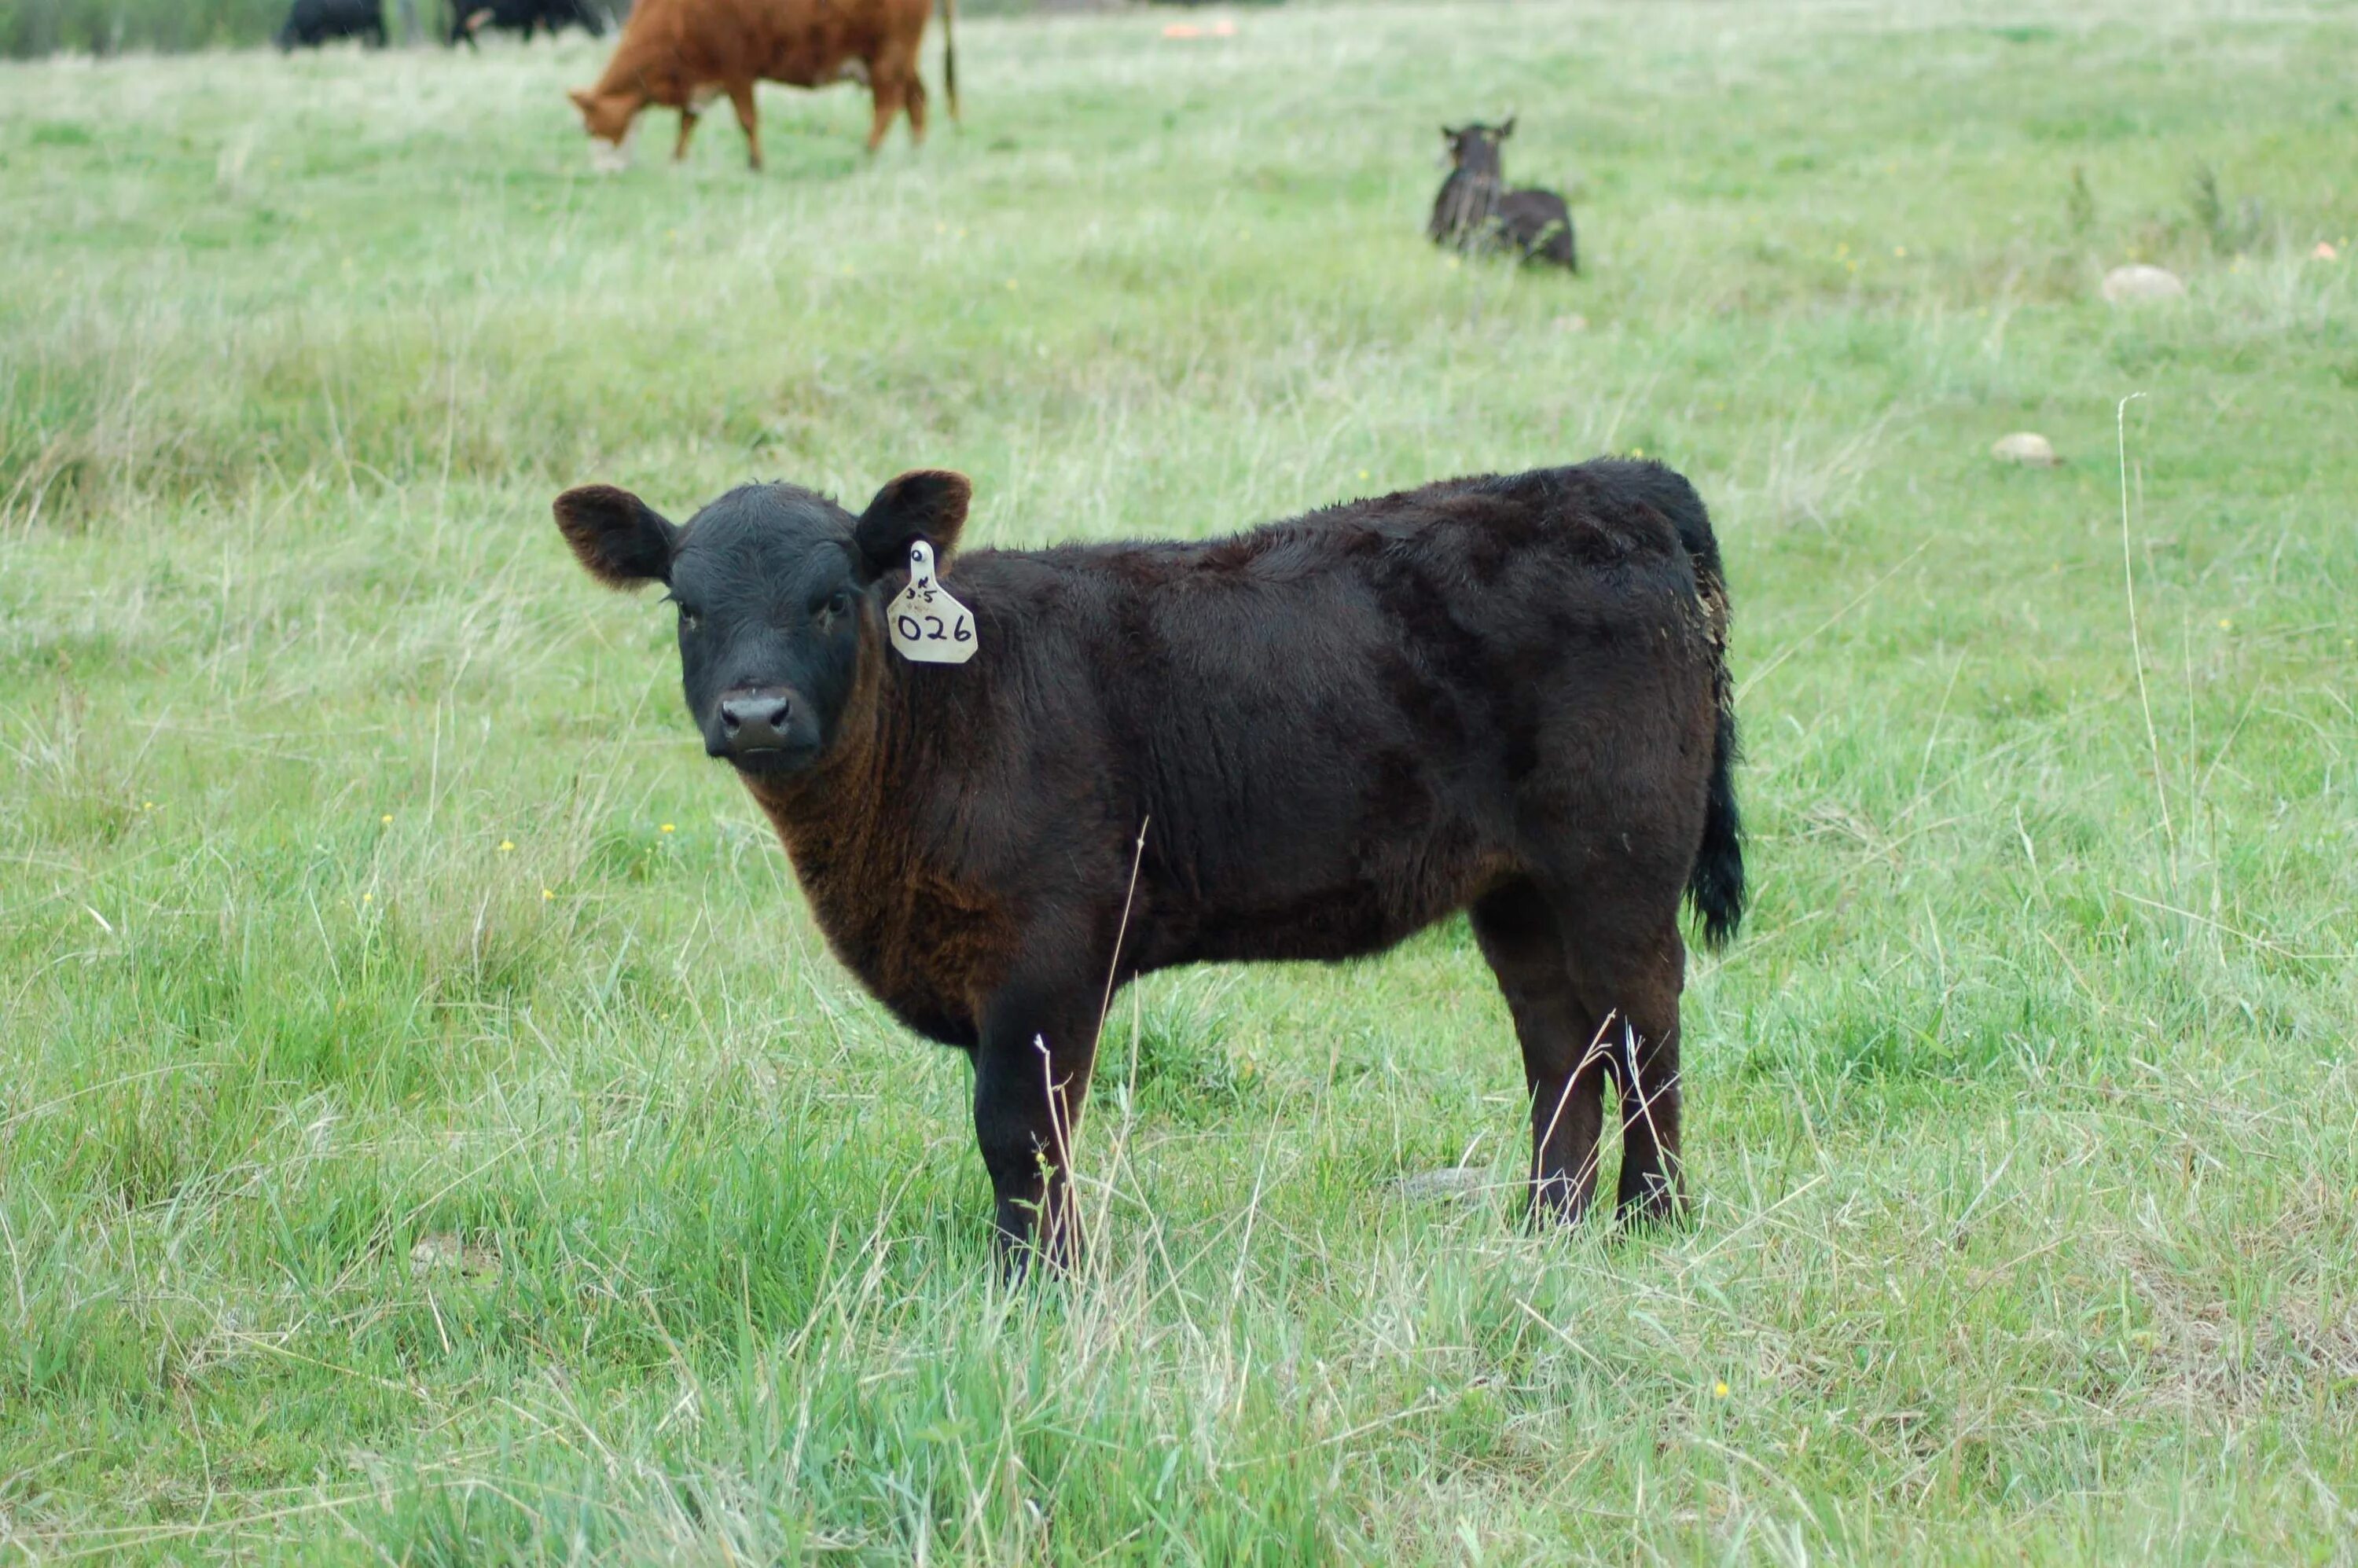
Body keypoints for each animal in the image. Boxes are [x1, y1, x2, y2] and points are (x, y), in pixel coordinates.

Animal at [446, 0, 604, 46]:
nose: (601, 32)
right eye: (596, 18)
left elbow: (527, 38)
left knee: (463, 33)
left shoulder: (530, 21)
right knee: (457, 33)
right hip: (464, 15)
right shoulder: (539, 18)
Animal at [547, 453, 1735, 1273]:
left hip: (1618, 862)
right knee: (1562, 1040)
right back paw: (1546, 1224)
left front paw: (1037, 1281)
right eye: (688, 607)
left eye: (834, 599)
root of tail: (1605, 481)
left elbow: (1020, 1131)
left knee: (1644, 1029)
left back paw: (1652, 1220)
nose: (756, 713)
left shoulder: (1049, 954)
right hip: (1518, 889)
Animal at [568, 0, 957, 170]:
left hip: (890, 54)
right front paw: (677, 159)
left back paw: (869, 151)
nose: (602, 173)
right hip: (896, 60)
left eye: (589, 128)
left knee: (888, 104)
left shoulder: (737, 70)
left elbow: (746, 120)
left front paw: (756, 162)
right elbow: (687, 121)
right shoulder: (702, 80)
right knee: (916, 99)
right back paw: (916, 150)